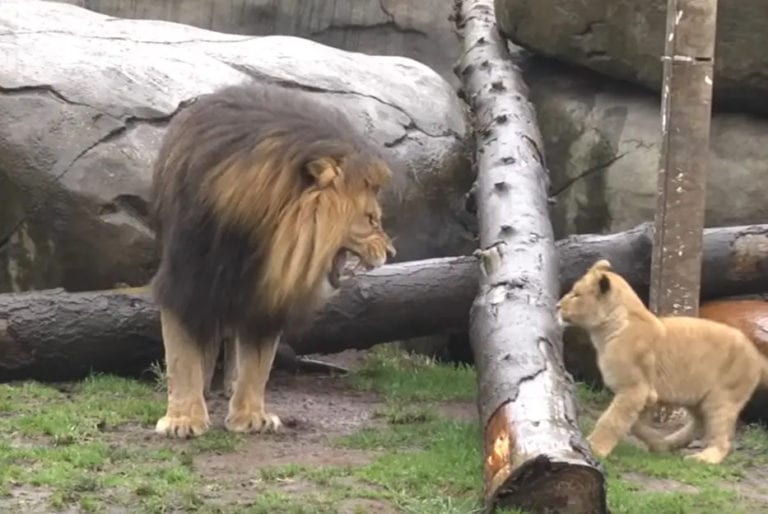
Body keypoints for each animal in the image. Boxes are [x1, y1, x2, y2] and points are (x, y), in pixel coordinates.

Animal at [149, 83, 396, 438]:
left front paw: (251, 416)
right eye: (371, 219)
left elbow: (258, 362)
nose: (391, 253)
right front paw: (183, 419)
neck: (264, 236)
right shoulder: (186, 280)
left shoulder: (269, 295)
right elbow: (182, 356)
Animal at [556, 259, 768, 464]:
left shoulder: (634, 389)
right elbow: (635, 425)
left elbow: (611, 420)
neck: (608, 329)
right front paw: (657, 444)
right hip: (697, 398)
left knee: (721, 436)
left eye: (576, 295)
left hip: (723, 398)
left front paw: (595, 448)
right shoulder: (645, 394)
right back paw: (671, 443)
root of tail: (757, 356)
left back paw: (705, 457)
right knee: (699, 424)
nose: (557, 305)